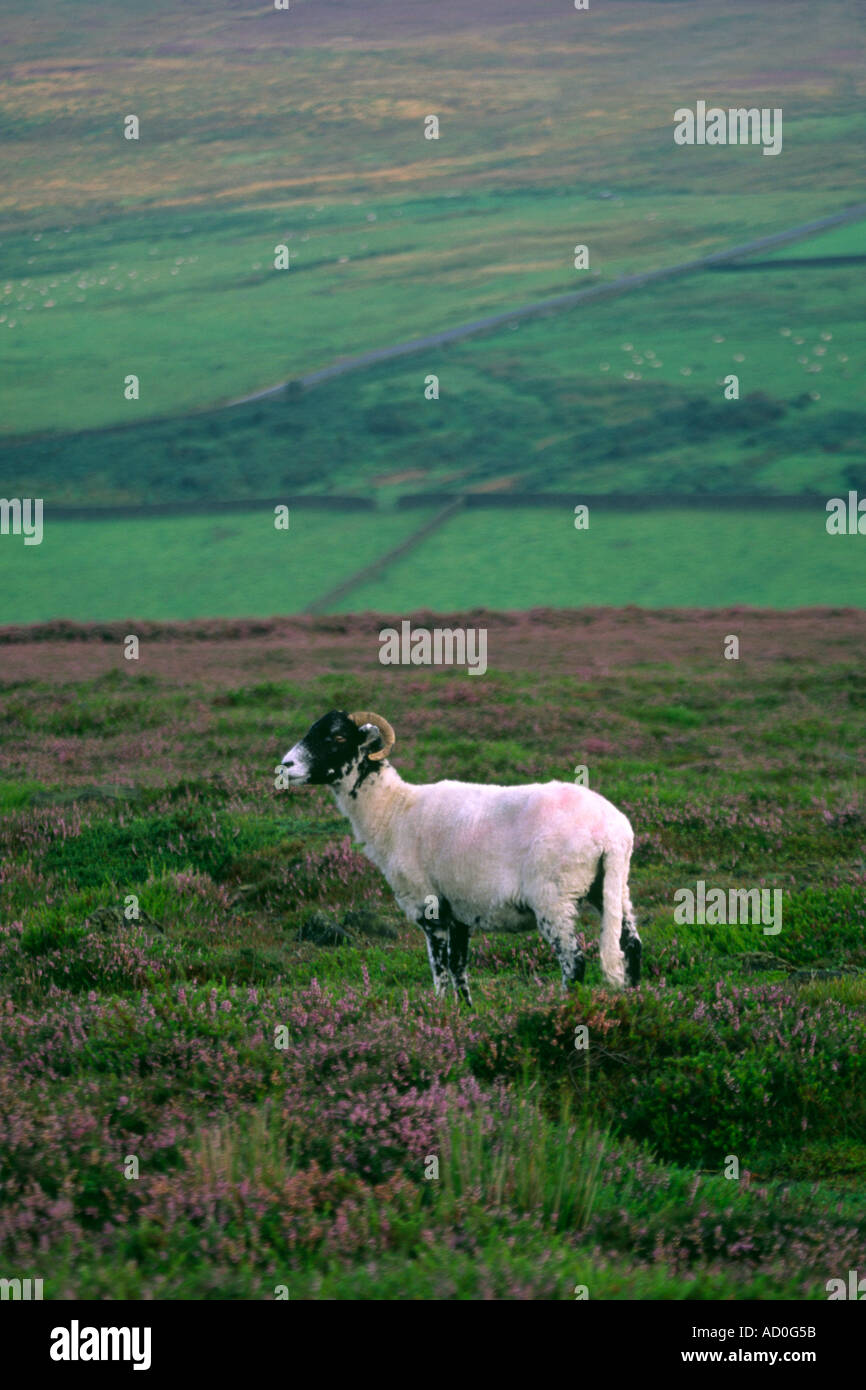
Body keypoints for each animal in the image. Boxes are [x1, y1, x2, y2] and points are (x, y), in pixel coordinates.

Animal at [280, 709, 642, 1005]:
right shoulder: (460, 910)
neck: (393, 811)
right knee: (632, 947)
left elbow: (440, 971)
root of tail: (610, 831)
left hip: (555, 896)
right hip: (612, 888)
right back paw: (635, 1001)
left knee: (574, 962)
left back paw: (566, 1008)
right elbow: (459, 969)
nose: (285, 766)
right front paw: (464, 1014)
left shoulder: (430, 907)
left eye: (338, 737)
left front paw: (439, 1013)